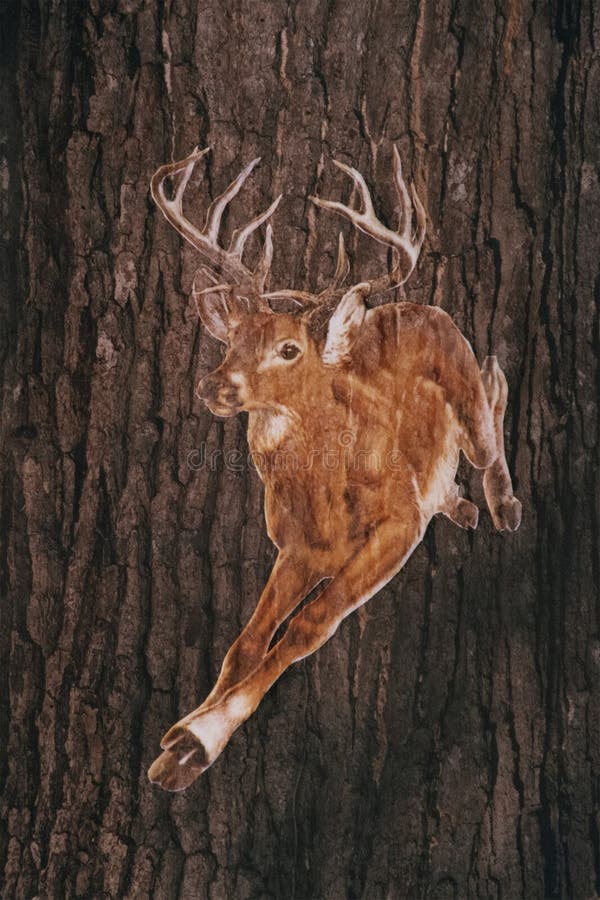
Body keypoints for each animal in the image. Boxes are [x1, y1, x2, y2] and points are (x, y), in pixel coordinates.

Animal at [147, 145, 521, 791]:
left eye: (288, 349)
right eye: (231, 340)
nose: (214, 384)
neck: (326, 499)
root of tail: (418, 304)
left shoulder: (398, 528)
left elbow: (307, 627)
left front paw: (200, 738)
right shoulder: (295, 548)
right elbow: (245, 643)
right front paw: (174, 746)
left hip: (465, 388)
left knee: (489, 408)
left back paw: (502, 506)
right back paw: (461, 505)